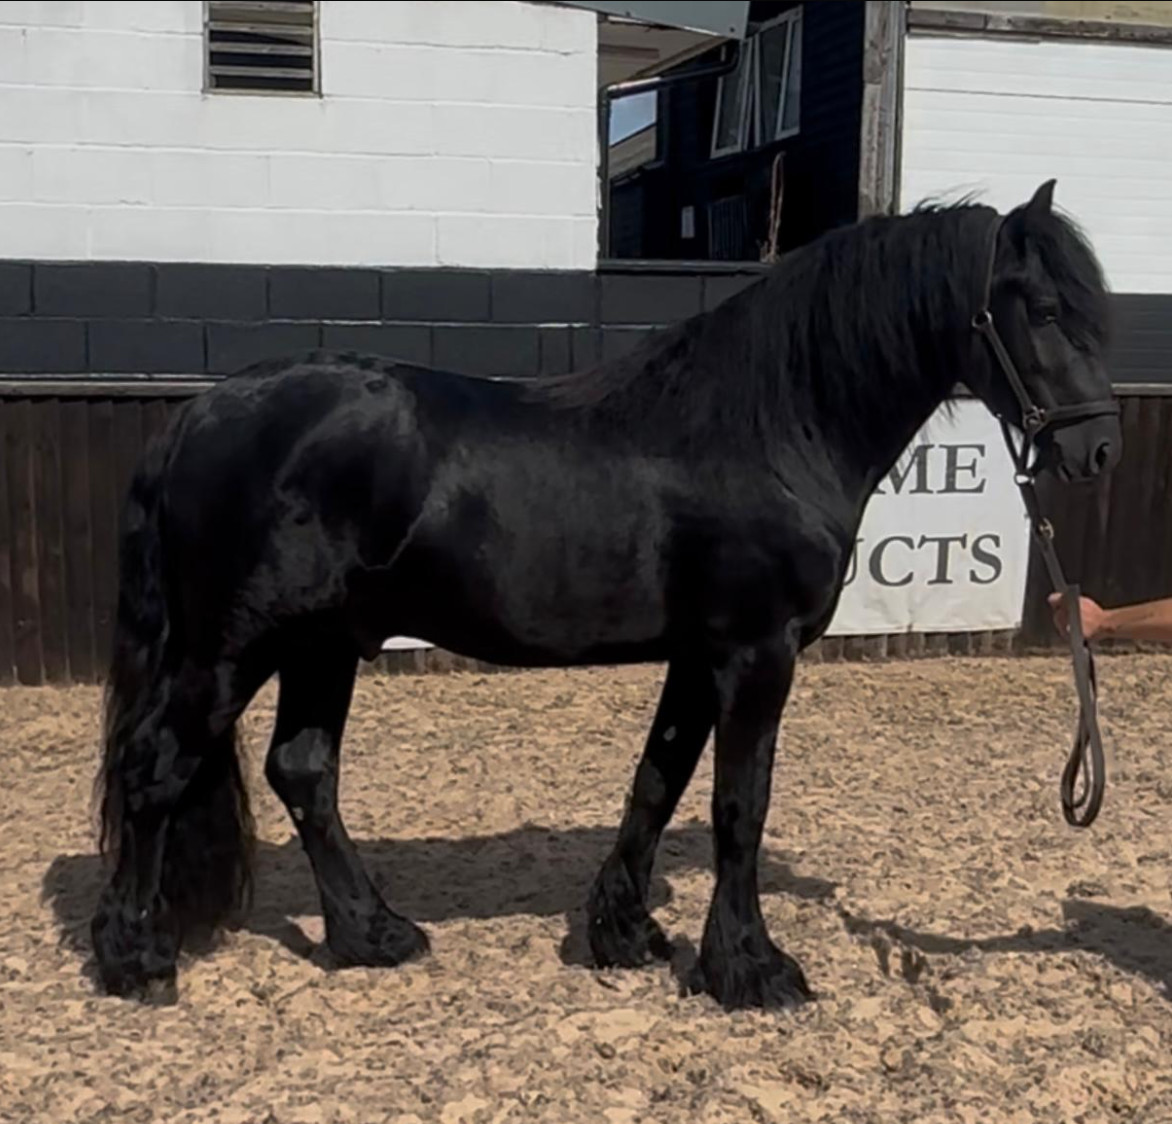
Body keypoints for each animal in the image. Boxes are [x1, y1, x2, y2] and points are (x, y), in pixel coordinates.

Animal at [91, 180, 1120, 1010]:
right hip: (233, 647)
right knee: (155, 768)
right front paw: (750, 969)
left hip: (321, 645)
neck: (768, 429)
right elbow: (740, 804)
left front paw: (626, 934)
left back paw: (372, 935)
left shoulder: (700, 655)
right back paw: (138, 959)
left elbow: (658, 782)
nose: (1097, 448)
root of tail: (198, 414)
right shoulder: (756, 652)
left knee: (301, 771)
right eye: (1037, 306)